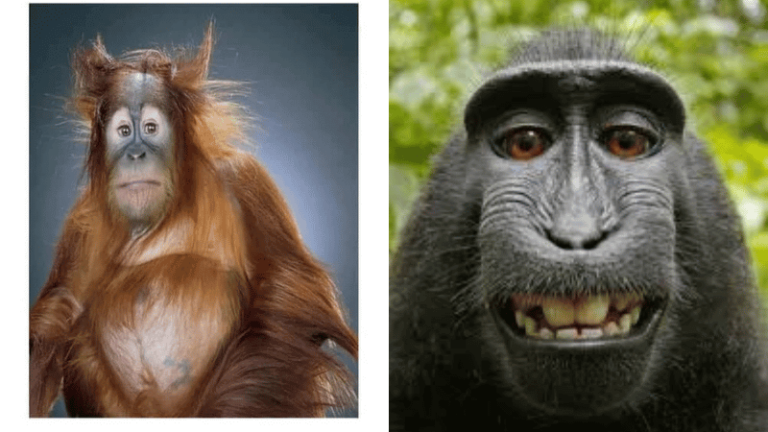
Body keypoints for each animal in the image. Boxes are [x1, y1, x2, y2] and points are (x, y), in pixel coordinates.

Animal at [29, 24, 357, 417]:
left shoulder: (245, 179)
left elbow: (289, 296)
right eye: (123, 132)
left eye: (150, 128)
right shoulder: (81, 222)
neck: (166, 211)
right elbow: (55, 318)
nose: (135, 154)